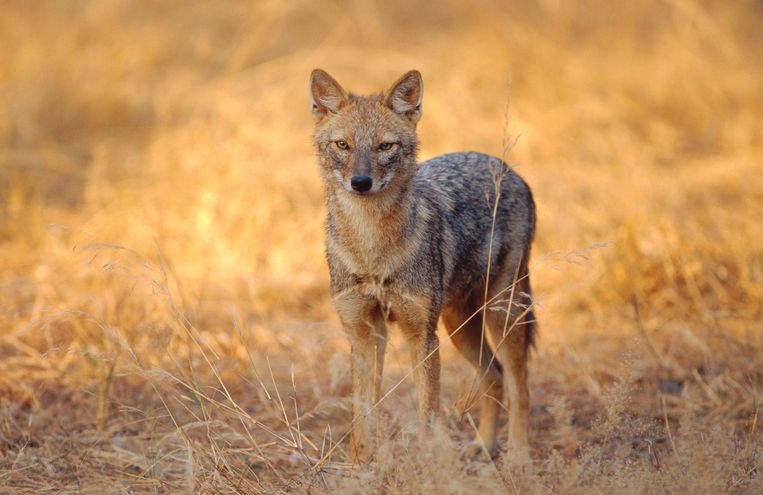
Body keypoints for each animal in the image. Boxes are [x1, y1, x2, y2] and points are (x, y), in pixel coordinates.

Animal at [310, 69, 536, 463]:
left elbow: (428, 414)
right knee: (493, 376)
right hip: (458, 324)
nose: (361, 182)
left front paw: (432, 464)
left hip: (499, 313)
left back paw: (518, 458)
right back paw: (484, 446)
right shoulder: (363, 333)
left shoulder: (421, 336)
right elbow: (362, 412)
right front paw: (359, 466)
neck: (372, 249)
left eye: (385, 147)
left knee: (518, 383)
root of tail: (506, 168)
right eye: (343, 145)